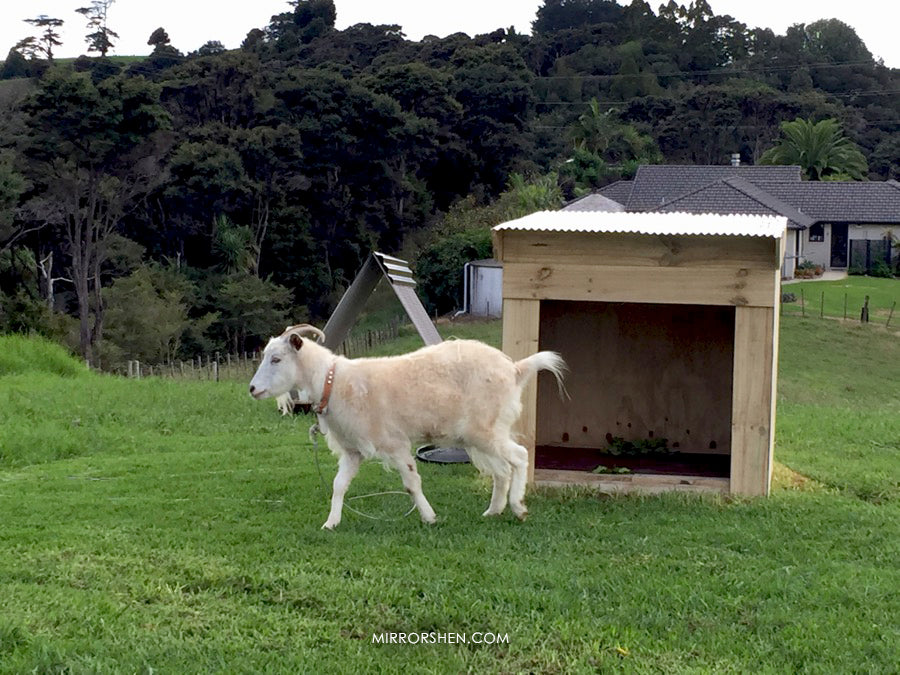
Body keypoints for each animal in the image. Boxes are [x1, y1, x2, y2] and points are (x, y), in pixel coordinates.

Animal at [248, 324, 566, 529]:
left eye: (276, 359)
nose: (252, 389)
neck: (333, 382)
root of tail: (514, 369)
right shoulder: (353, 451)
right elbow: (339, 485)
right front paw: (331, 522)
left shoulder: (395, 442)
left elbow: (411, 483)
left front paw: (429, 517)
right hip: (481, 434)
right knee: (502, 470)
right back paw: (493, 511)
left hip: (486, 428)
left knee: (520, 456)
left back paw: (518, 508)